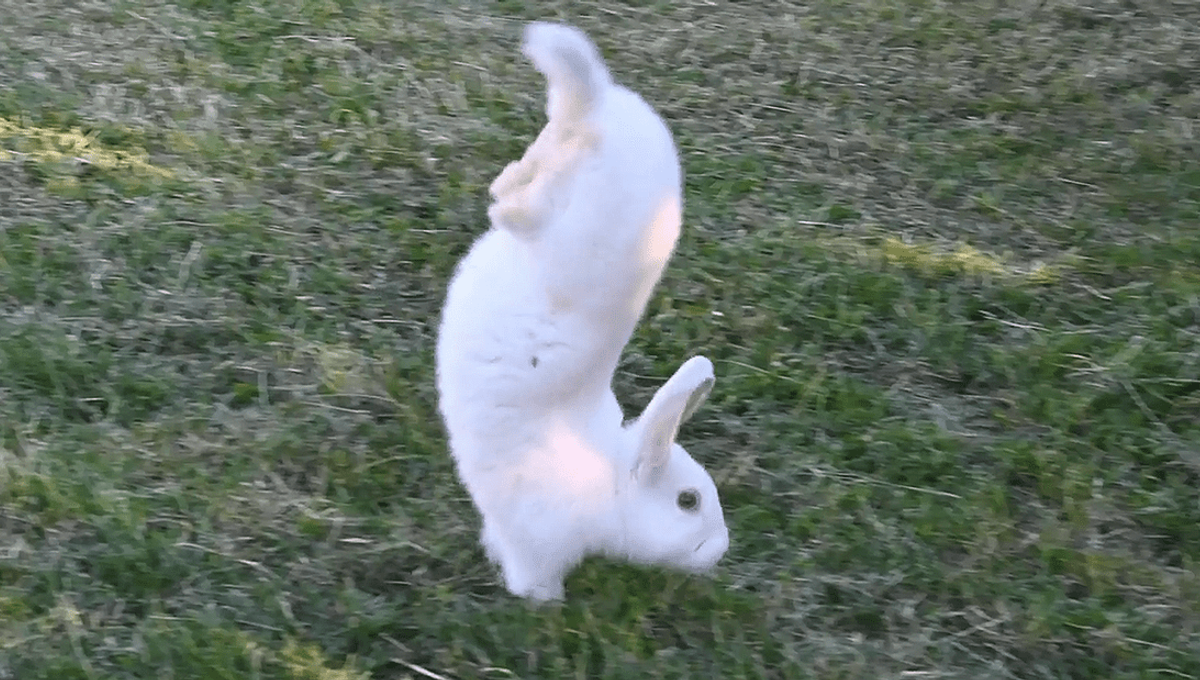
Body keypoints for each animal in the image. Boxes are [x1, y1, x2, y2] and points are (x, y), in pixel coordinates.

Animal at [436, 22, 729, 602]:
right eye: (688, 501)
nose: (719, 550)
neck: (607, 476)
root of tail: (601, 98)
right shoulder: (536, 543)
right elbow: (534, 578)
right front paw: (543, 603)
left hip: (572, 162)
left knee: (548, 151)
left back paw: (508, 189)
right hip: (576, 226)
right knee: (541, 197)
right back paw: (511, 205)